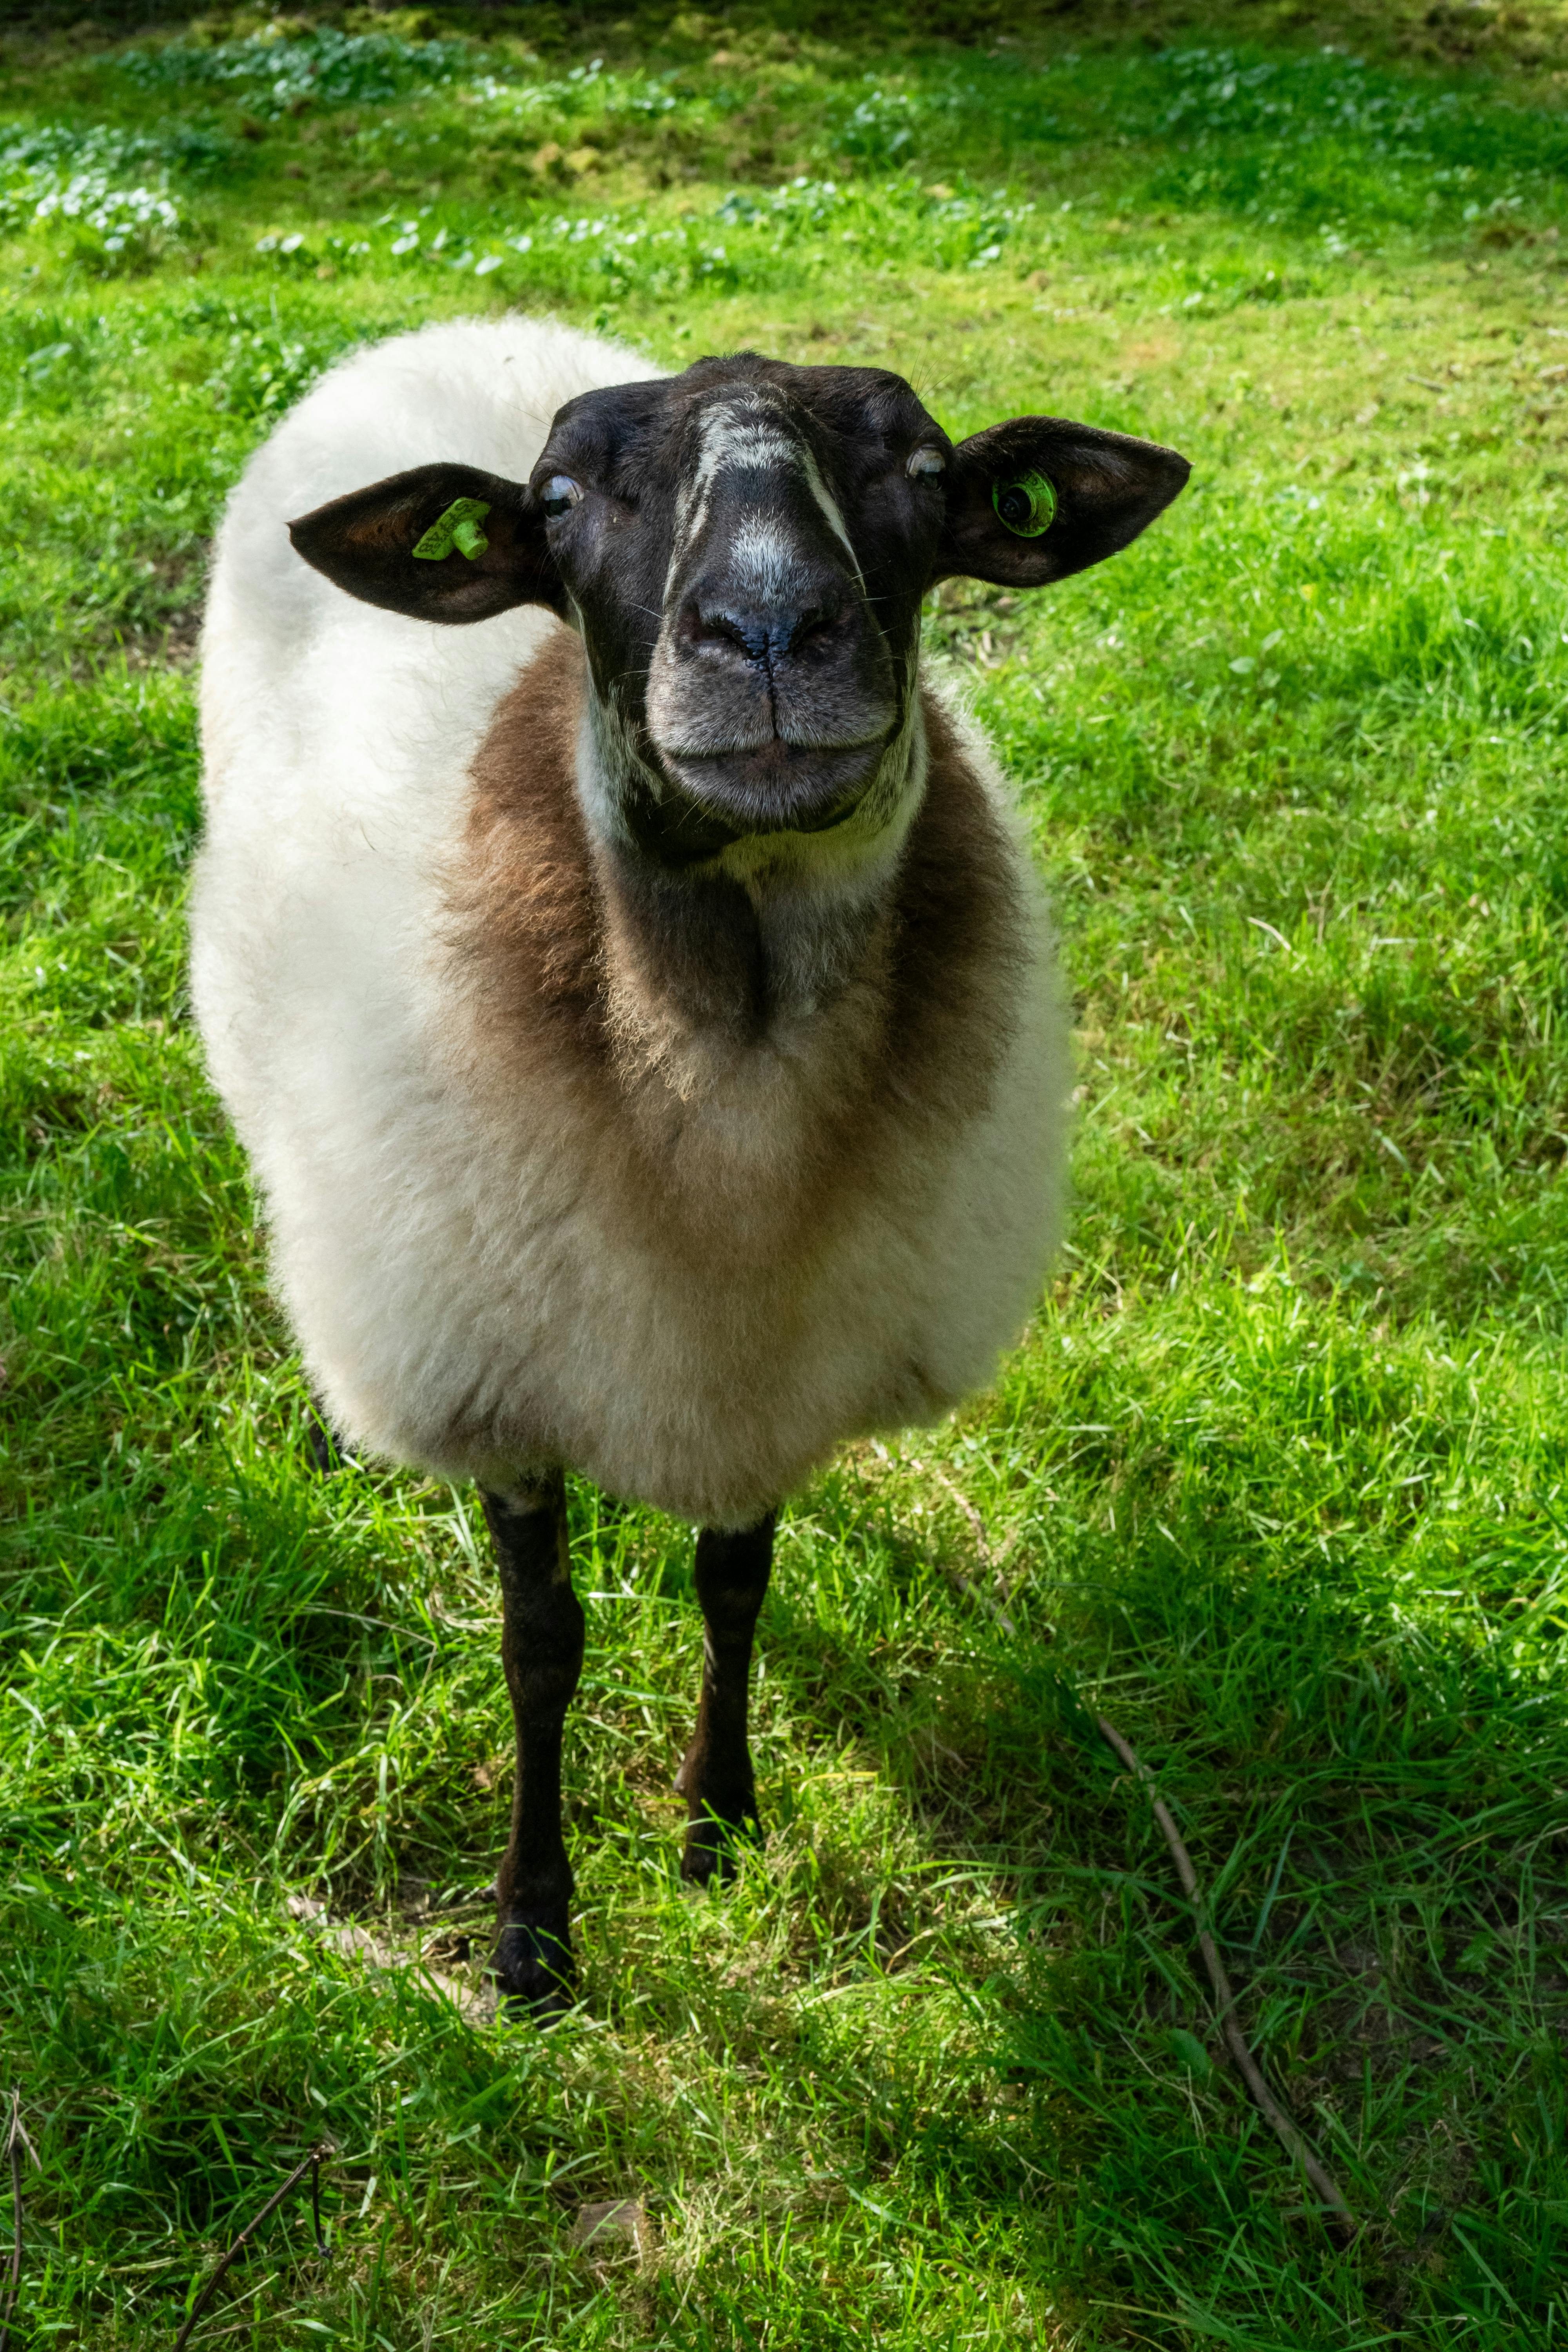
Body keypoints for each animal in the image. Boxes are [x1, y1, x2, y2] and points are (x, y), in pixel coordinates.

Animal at [191, 315, 1188, 2016]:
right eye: (560, 502)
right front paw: (533, 1930)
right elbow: (544, 1645)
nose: (773, 628)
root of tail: (454, 322)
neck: (731, 1089)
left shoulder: (771, 1380)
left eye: (928, 473)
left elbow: (736, 1589)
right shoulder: (503, 1388)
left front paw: (717, 1821)